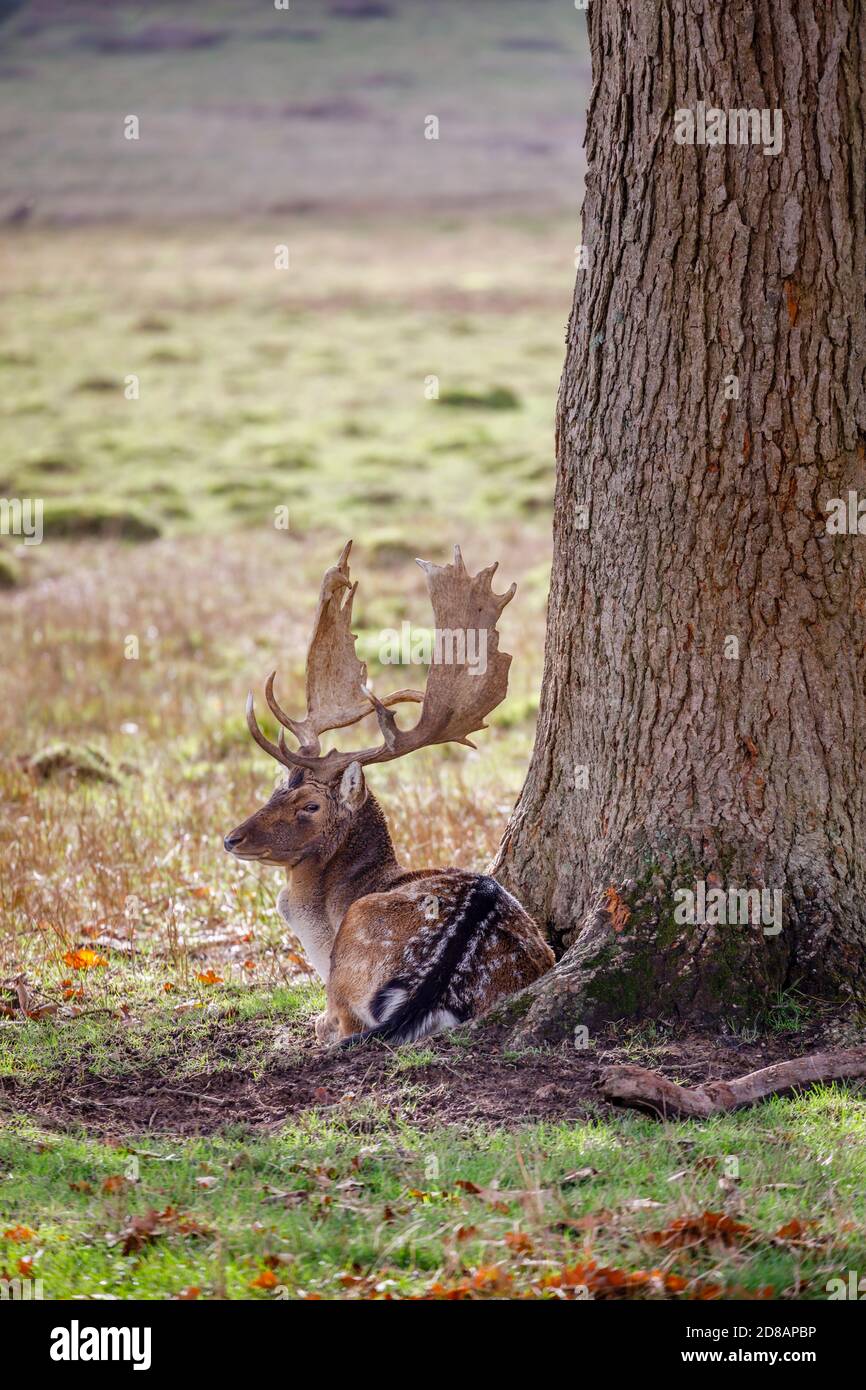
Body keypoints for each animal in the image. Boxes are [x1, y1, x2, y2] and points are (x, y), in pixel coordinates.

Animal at [223, 542, 554, 1046]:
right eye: (275, 789)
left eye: (310, 806)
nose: (232, 839)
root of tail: (435, 986)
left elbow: (321, 1019)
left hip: (356, 950)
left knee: (345, 1022)